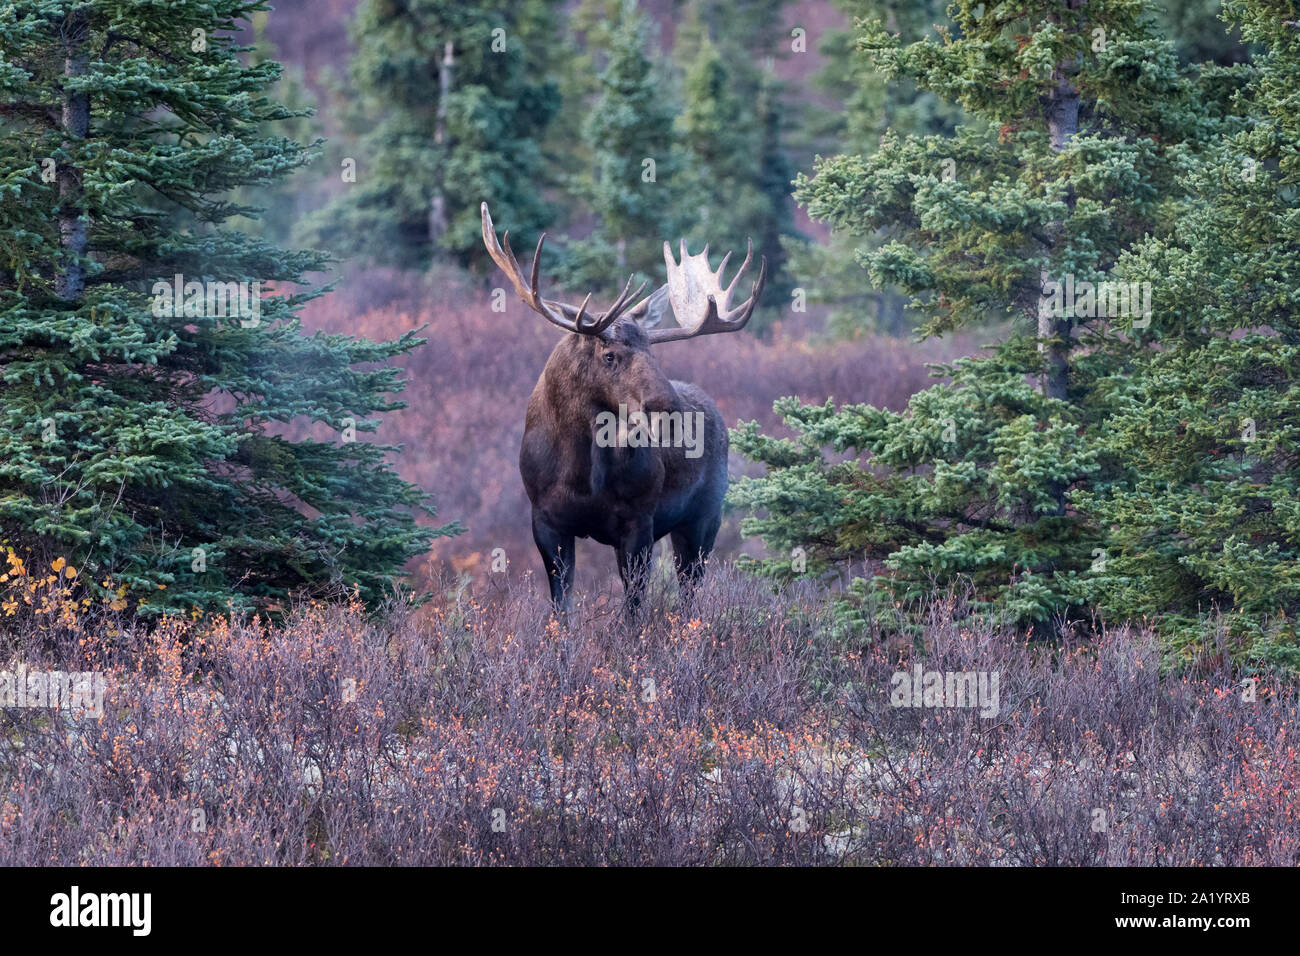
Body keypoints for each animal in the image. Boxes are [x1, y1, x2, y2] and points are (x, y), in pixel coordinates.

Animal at [481, 202, 766, 618]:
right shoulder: (545, 520)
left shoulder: (639, 520)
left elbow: (633, 609)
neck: (581, 473)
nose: (669, 407)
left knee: (690, 589)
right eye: (609, 355)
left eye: (653, 352)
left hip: (705, 517)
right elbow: (561, 606)